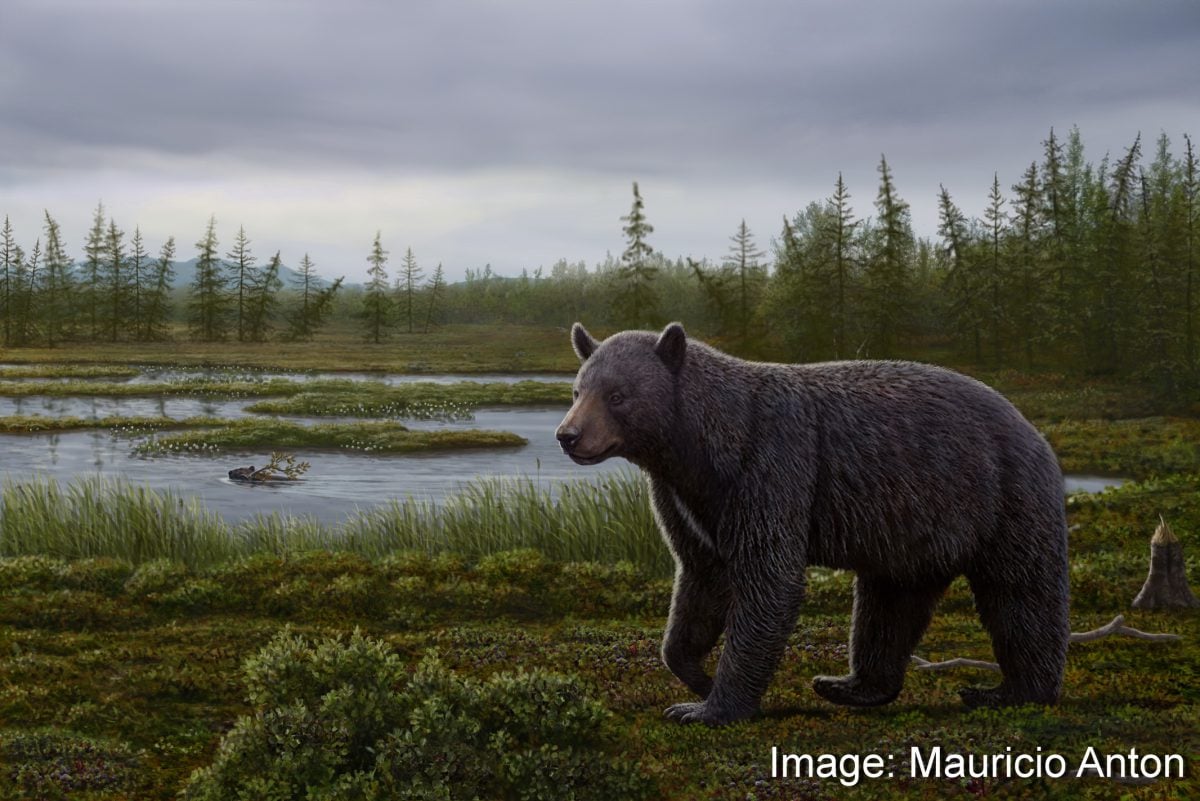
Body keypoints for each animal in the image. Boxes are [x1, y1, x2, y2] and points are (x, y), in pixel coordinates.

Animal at [556, 322, 1069, 726]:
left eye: (618, 396)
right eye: (578, 390)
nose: (567, 435)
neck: (703, 450)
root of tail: (1030, 427)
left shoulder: (772, 468)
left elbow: (768, 580)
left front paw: (711, 707)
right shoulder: (689, 501)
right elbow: (701, 577)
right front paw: (696, 677)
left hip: (1006, 501)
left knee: (1021, 595)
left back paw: (1011, 692)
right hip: (913, 528)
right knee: (889, 605)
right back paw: (850, 685)